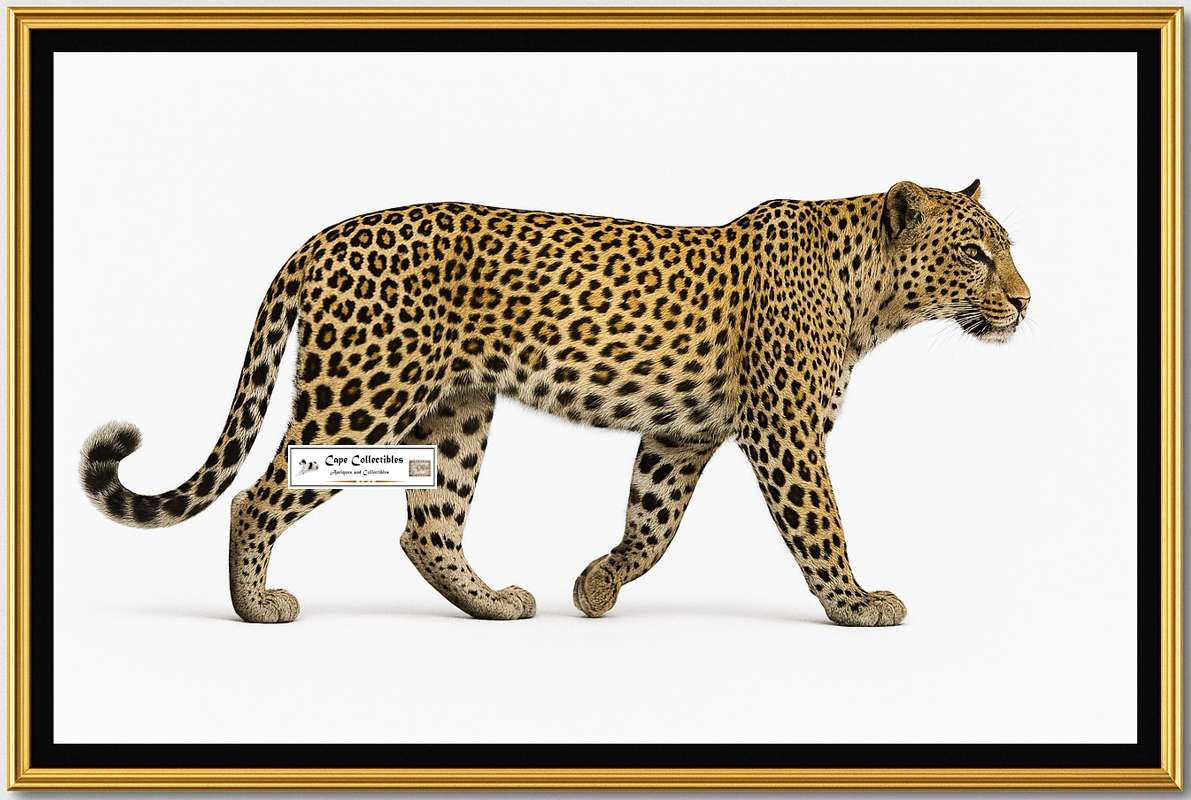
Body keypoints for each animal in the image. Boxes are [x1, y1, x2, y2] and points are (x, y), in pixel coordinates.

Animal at [80, 179, 1030, 626]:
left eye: (1005, 250)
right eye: (975, 254)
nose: (1025, 302)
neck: (873, 299)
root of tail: (317, 240)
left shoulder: (682, 437)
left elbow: (652, 523)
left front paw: (597, 585)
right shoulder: (785, 432)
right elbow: (820, 525)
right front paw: (856, 604)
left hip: (457, 409)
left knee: (427, 527)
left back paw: (491, 603)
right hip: (362, 395)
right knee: (258, 496)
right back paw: (256, 607)